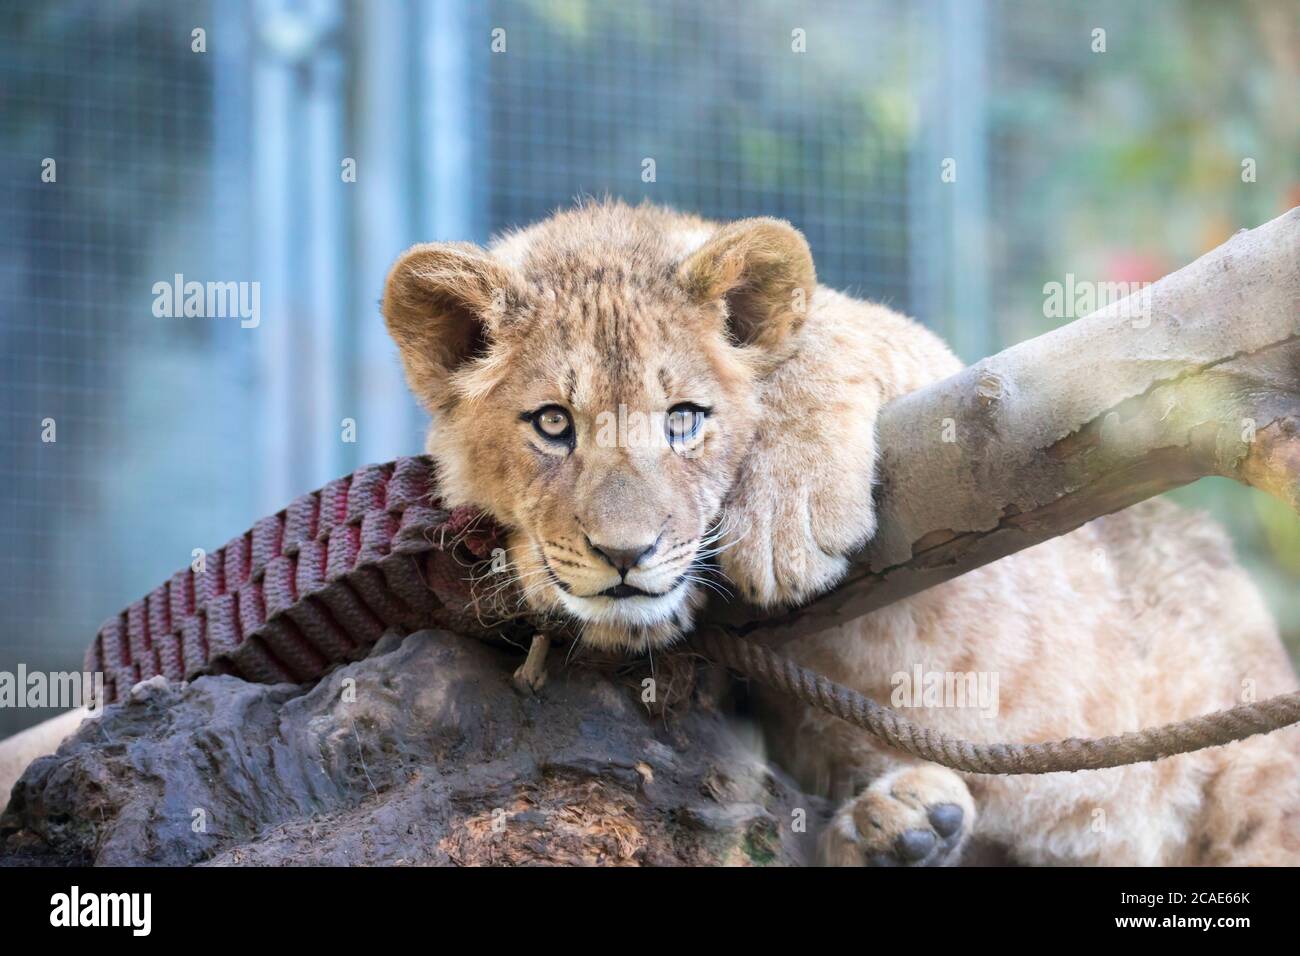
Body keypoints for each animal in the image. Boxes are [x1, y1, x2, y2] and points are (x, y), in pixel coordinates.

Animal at [381, 199, 1300, 866]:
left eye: (684, 420)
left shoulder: (980, 418)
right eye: (552, 424)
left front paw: (786, 517)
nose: (624, 555)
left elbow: (828, 337)